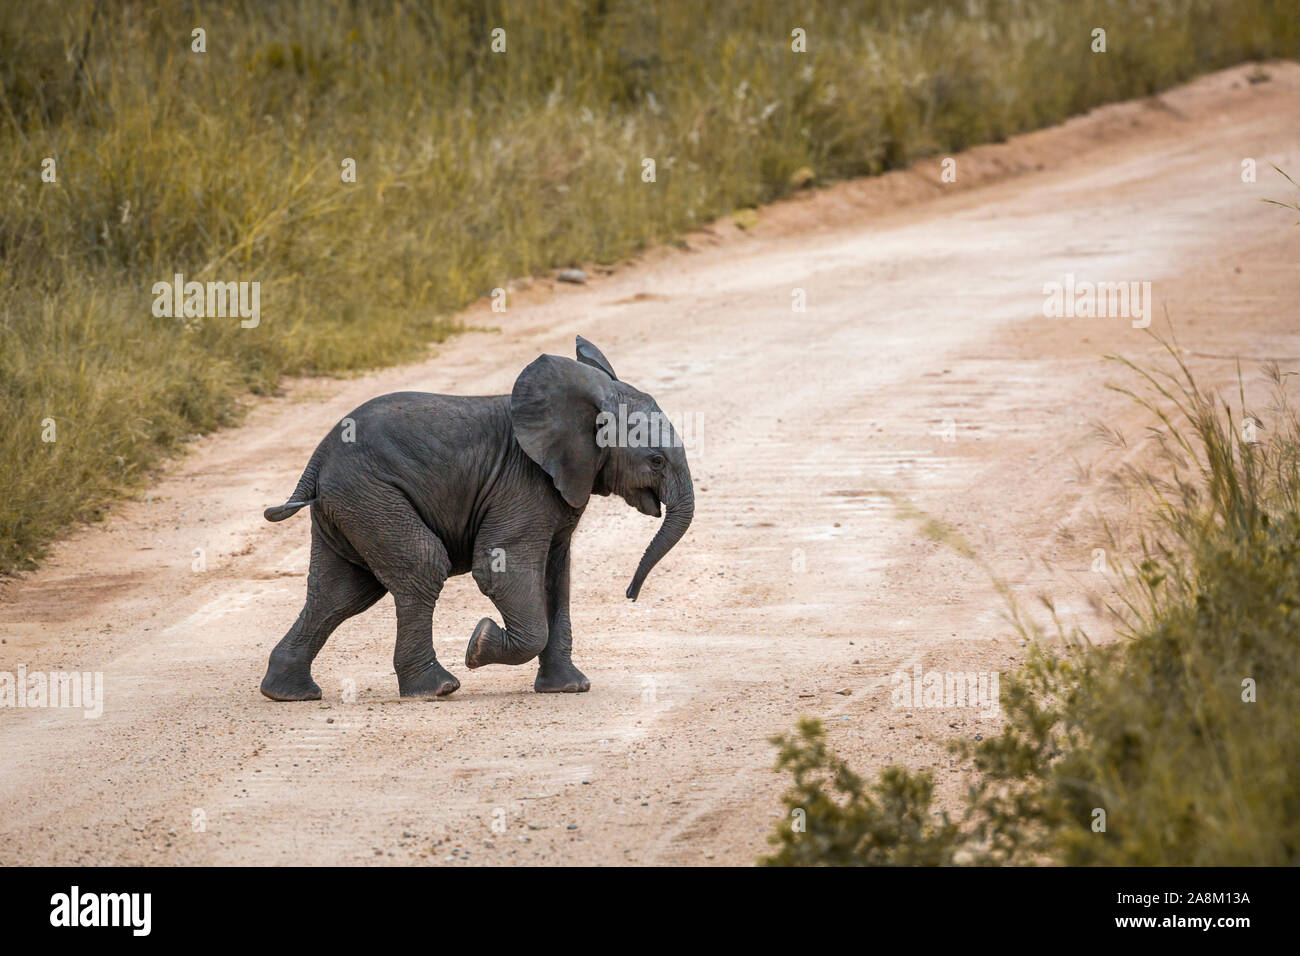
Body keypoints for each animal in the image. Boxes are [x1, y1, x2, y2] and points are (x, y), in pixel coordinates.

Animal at [258, 336, 694, 700]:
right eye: (656, 460)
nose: (630, 595)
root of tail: (318, 458)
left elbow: (556, 577)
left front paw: (570, 688)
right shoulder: (522, 484)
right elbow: (501, 565)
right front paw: (478, 644)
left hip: (351, 503)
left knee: (342, 593)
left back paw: (288, 694)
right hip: (370, 494)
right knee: (421, 564)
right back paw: (438, 688)